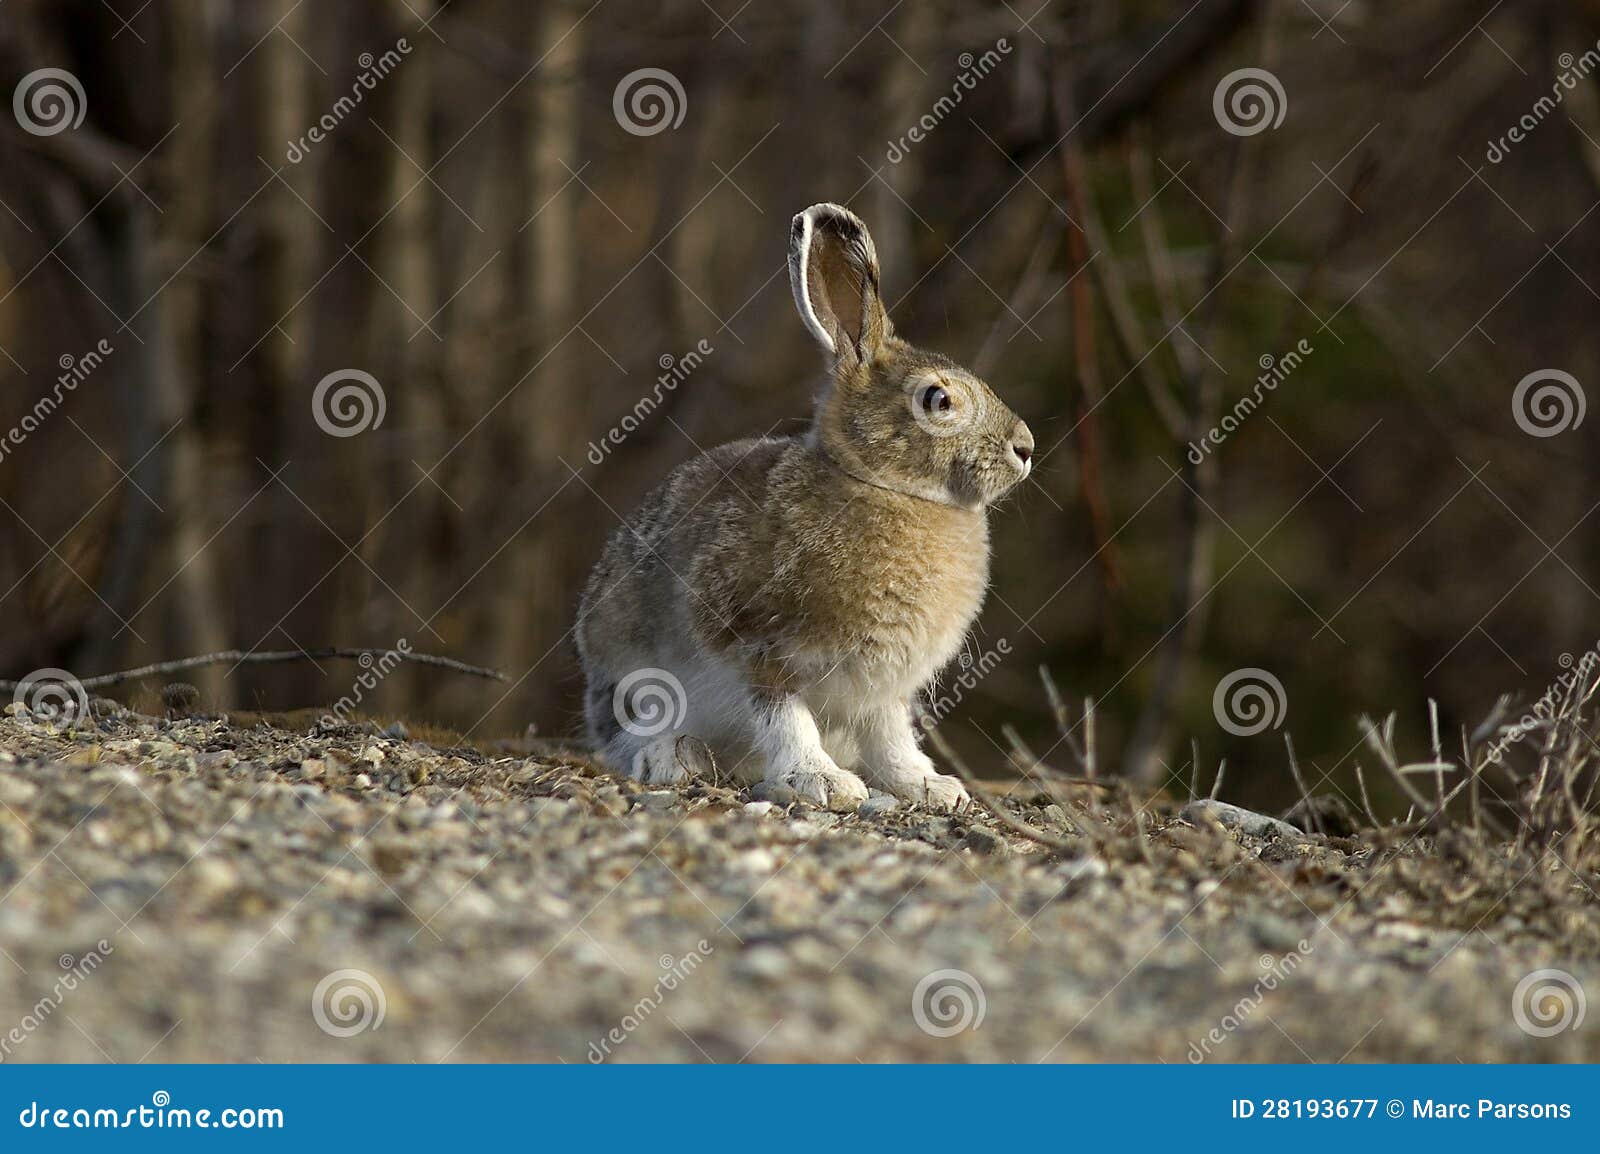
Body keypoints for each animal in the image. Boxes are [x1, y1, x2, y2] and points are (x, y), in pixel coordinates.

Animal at [576, 202, 1034, 812]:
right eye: (938, 400)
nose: (1026, 448)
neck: (884, 485)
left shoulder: (885, 688)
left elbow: (891, 736)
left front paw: (929, 786)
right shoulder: (755, 644)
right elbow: (784, 717)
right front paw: (822, 782)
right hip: (632, 670)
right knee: (634, 733)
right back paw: (672, 758)